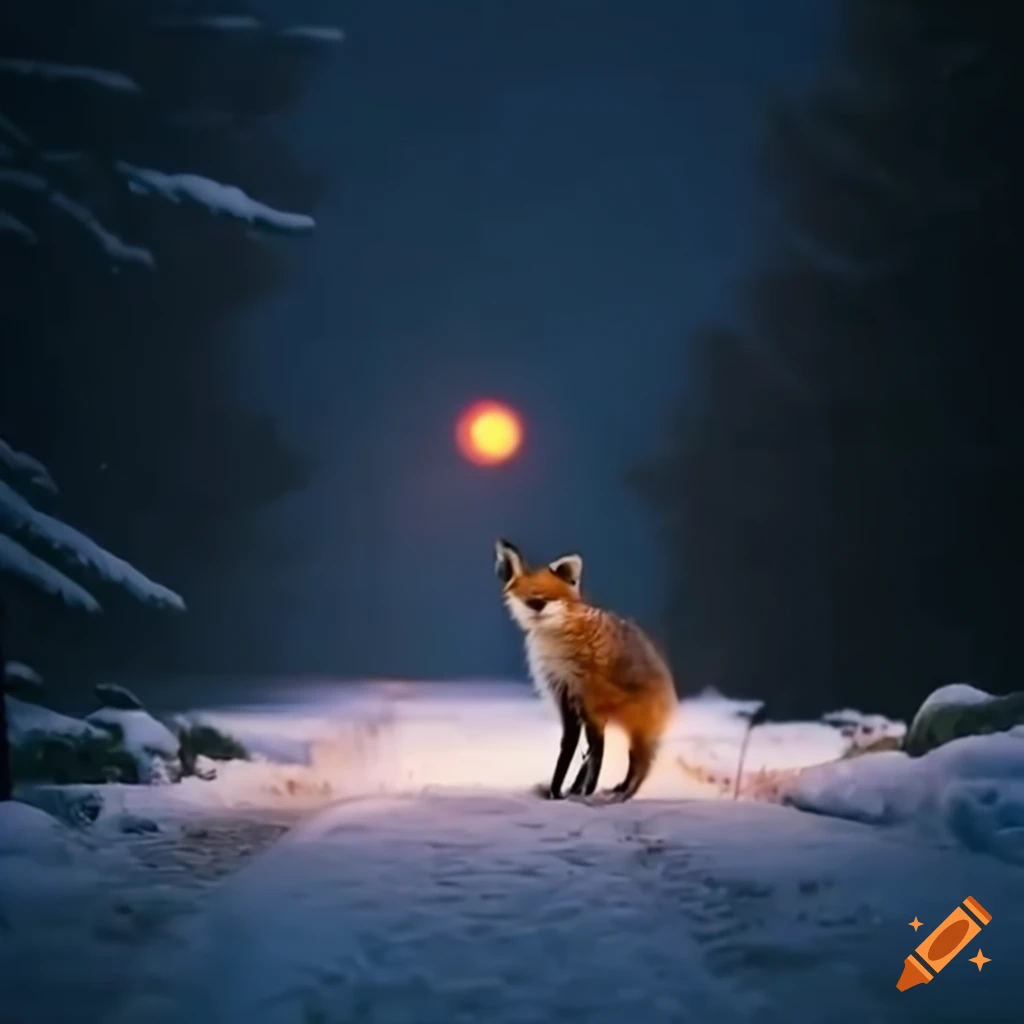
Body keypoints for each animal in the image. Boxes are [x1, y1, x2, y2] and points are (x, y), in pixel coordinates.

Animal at [494, 538, 677, 802]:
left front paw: (580, 793)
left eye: (549, 598)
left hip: (634, 729)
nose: (537, 605)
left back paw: (621, 793)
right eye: (529, 598)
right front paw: (557, 793)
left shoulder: (590, 702)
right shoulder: (565, 697)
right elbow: (569, 752)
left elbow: (593, 756)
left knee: (640, 766)